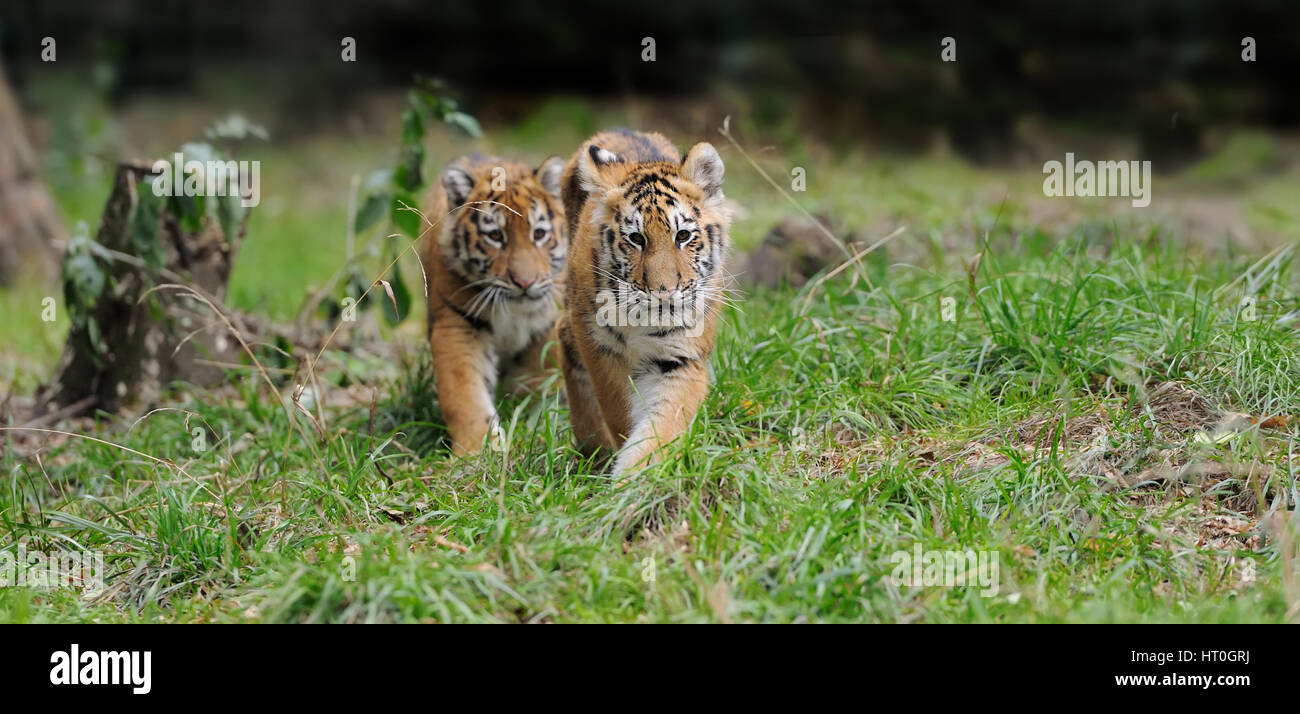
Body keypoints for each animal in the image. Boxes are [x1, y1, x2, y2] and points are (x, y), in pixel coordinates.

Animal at [419, 154, 567, 455]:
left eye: (539, 234)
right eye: (495, 236)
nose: (525, 282)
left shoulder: (547, 326)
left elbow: (539, 379)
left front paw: (534, 420)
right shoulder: (458, 325)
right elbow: (463, 394)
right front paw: (477, 448)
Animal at [557, 128, 730, 476]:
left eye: (683, 236)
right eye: (636, 238)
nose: (663, 292)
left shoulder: (681, 357)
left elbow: (662, 426)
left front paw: (636, 478)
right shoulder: (600, 347)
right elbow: (618, 410)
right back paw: (591, 447)